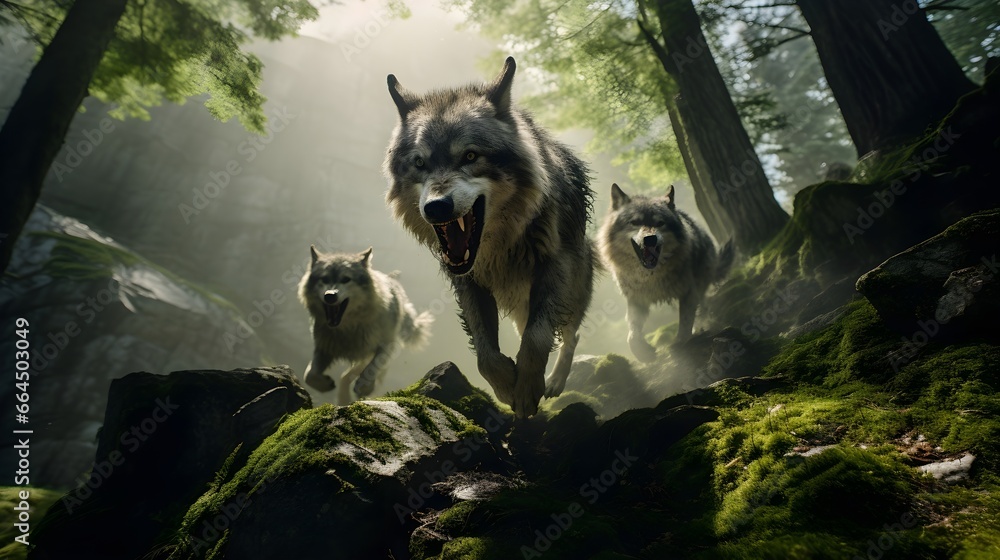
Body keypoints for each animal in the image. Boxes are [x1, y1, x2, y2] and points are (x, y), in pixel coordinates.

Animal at [298, 246, 433, 405]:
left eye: (346, 279)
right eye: (324, 279)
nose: (330, 295)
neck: (348, 328)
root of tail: (390, 278)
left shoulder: (385, 345)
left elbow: (373, 367)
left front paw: (364, 386)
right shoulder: (324, 347)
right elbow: (309, 375)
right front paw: (325, 384)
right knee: (345, 375)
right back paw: (344, 399)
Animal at [383, 57, 596, 418]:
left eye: (470, 156)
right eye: (420, 163)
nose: (436, 207)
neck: (502, 247)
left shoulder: (556, 266)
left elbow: (537, 338)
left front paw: (527, 390)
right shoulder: (468, 282)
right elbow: (486, 355)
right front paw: (508, 385)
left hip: (574, 287)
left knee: (571, 335)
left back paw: (555, 383)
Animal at [599, 183, 734, 362]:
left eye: (660, 223)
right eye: (635, 222)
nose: (650, 238)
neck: (651, 276)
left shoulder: (688, 292)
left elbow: (685, 321)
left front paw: (680, 343)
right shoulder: (636, 299)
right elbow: (632, 334)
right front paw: (643, 353)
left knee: (703, 307)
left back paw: (700, 327)